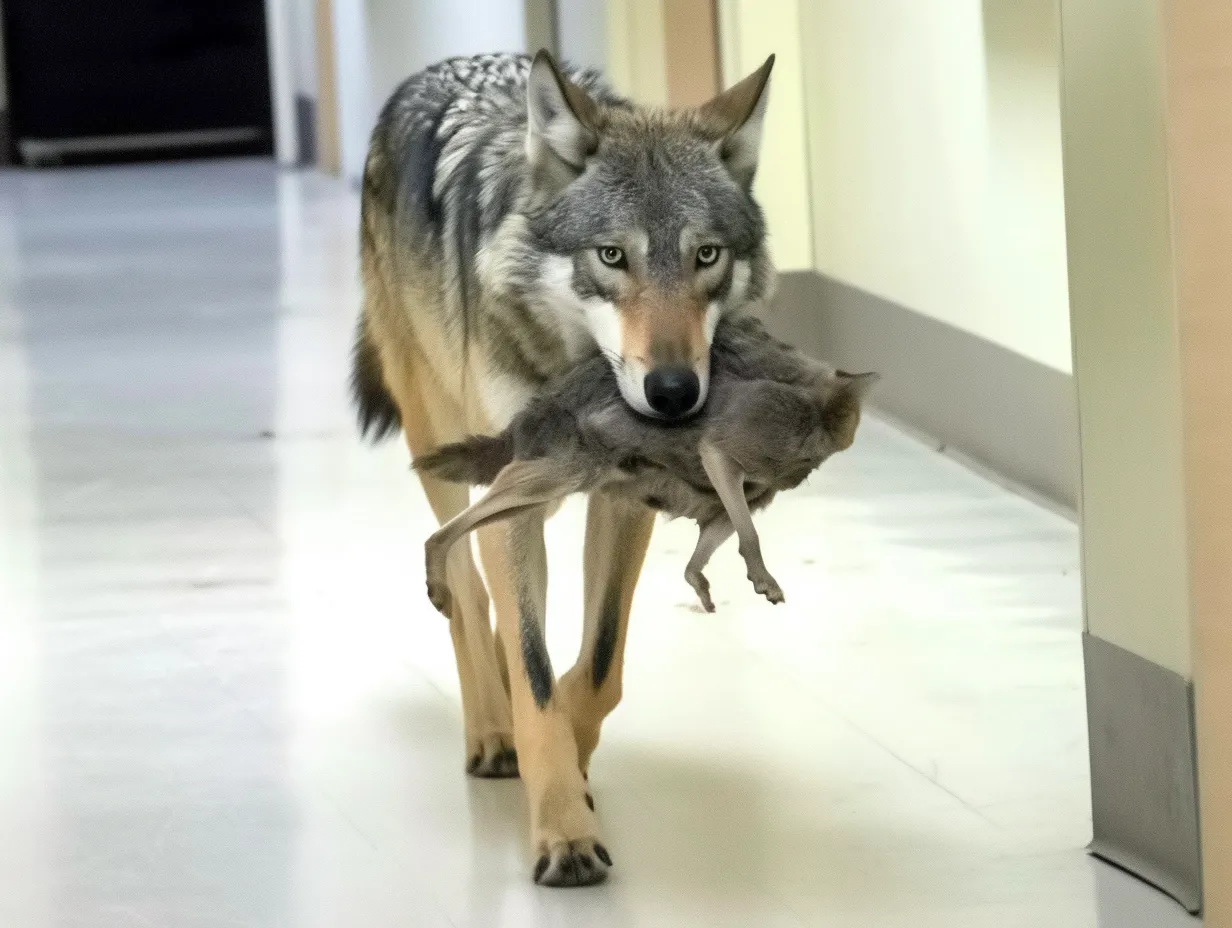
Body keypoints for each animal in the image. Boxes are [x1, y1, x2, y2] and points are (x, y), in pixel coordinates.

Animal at [352, 48, 776, 886]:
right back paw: (490, 734)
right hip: (440, 447)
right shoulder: (511, 500)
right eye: (611, 256)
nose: (673, 393)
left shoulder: (625, 499)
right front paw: (562, 831)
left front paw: (574, 772)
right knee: (461, 585)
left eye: (705, 256)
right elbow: (534, 668)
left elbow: (598, 665)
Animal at [415, 314, 877, 615]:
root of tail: (528, 416)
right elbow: (750, 535)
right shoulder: (725, 451)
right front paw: (764, 581)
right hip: (562, 473)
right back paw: (437, 581)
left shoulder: (726, 502)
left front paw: (703, 586)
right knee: (450, 525)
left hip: (540, 495)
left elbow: (703, 555)